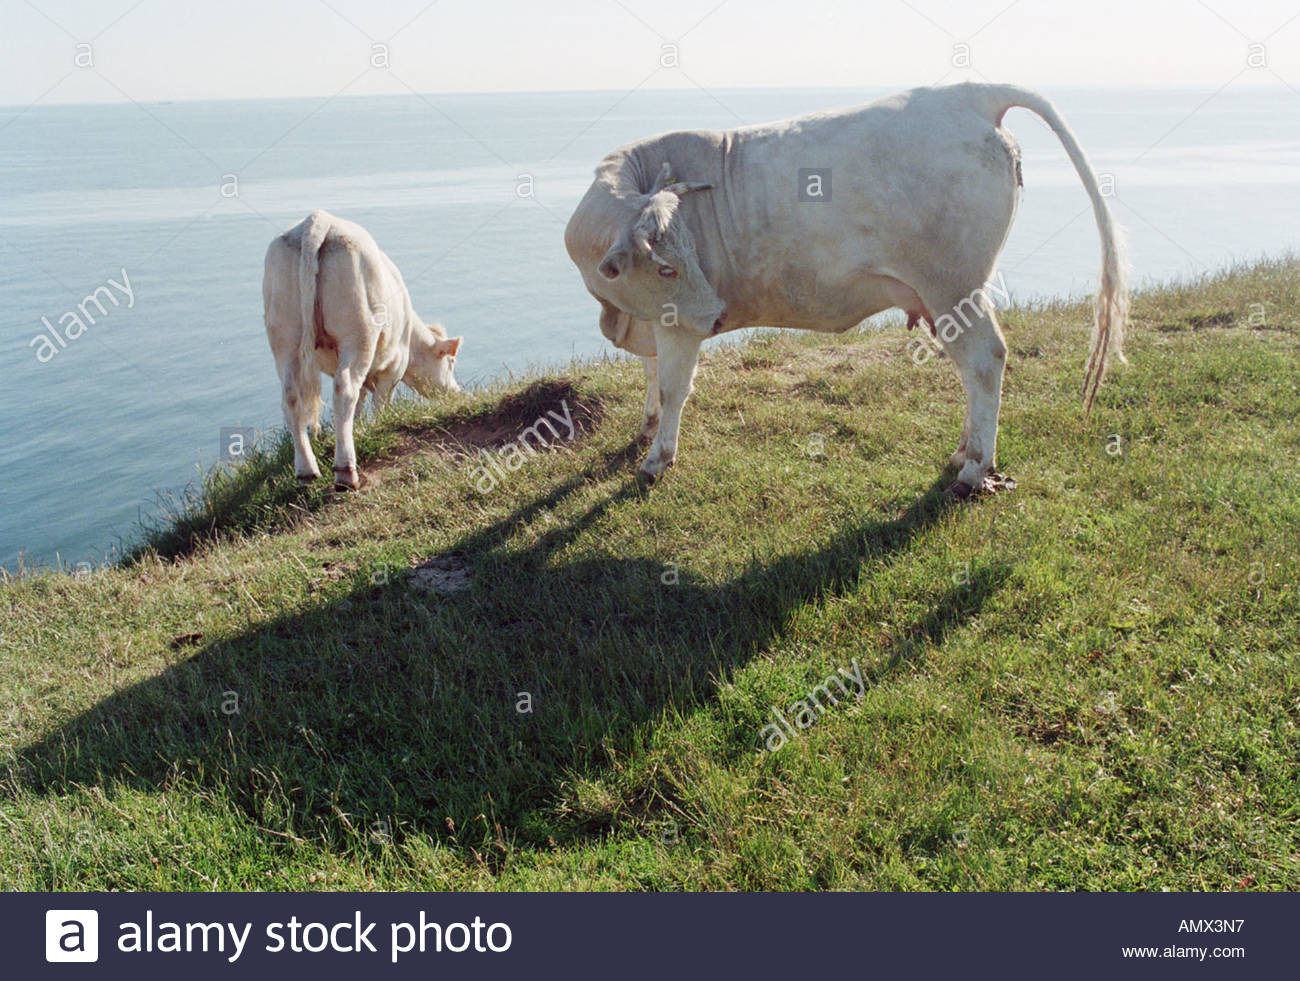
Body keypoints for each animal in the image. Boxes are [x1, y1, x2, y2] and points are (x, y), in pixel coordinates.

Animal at [264, 210, 463, 490]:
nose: (457, 392)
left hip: (284, 337)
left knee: (292, 396)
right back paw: (345, 472)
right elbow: (380, 402)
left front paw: (357, 428)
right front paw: (381, 425)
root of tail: (317, 220)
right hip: (358, 333)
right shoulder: (393, 367)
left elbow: (359, 405)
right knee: (344, 388)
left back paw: (306, 471)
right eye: (451, 362)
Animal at [564, 83, 1128, 496]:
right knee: (970, 367)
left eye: (678, 263)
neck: (618, 313)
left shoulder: (678, 322)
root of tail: (968, 93)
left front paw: (658, 457)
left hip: (953, 284)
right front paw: (646, 429)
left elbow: (672, 385)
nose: (719, 315)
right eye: (664, 269)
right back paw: (963, 453)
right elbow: (649, 373)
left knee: (985, 359)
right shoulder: (652, 317)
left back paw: (974, 470)